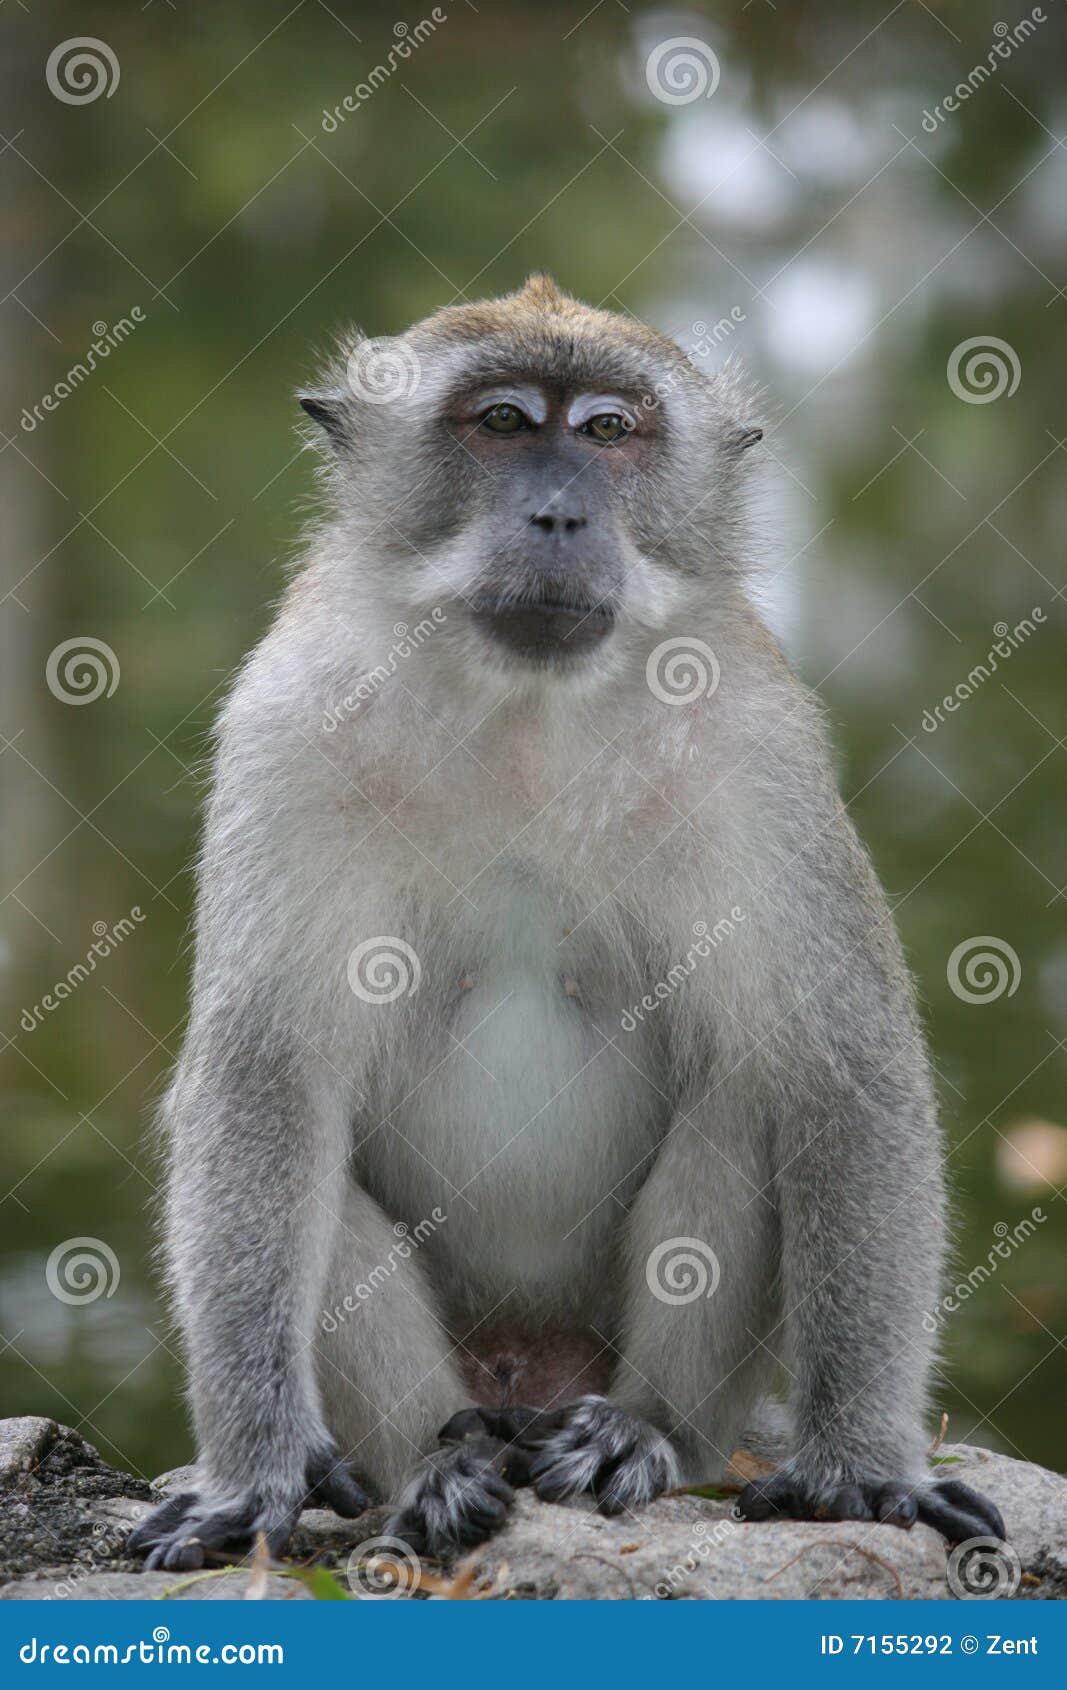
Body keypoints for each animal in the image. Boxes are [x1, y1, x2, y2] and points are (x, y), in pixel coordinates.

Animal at [130, 275, 1004, 1572]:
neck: (526, 717)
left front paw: (860, 1466)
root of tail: (527, 1369)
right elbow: (265, 1075)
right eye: (500, 422)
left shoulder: (759, 745)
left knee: (748, 1096)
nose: (557, 514)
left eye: (605, 430)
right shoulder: (285, 722)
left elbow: (839, 1069)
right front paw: (257, 1471)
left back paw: (633, 1437)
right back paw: (440, 1467)